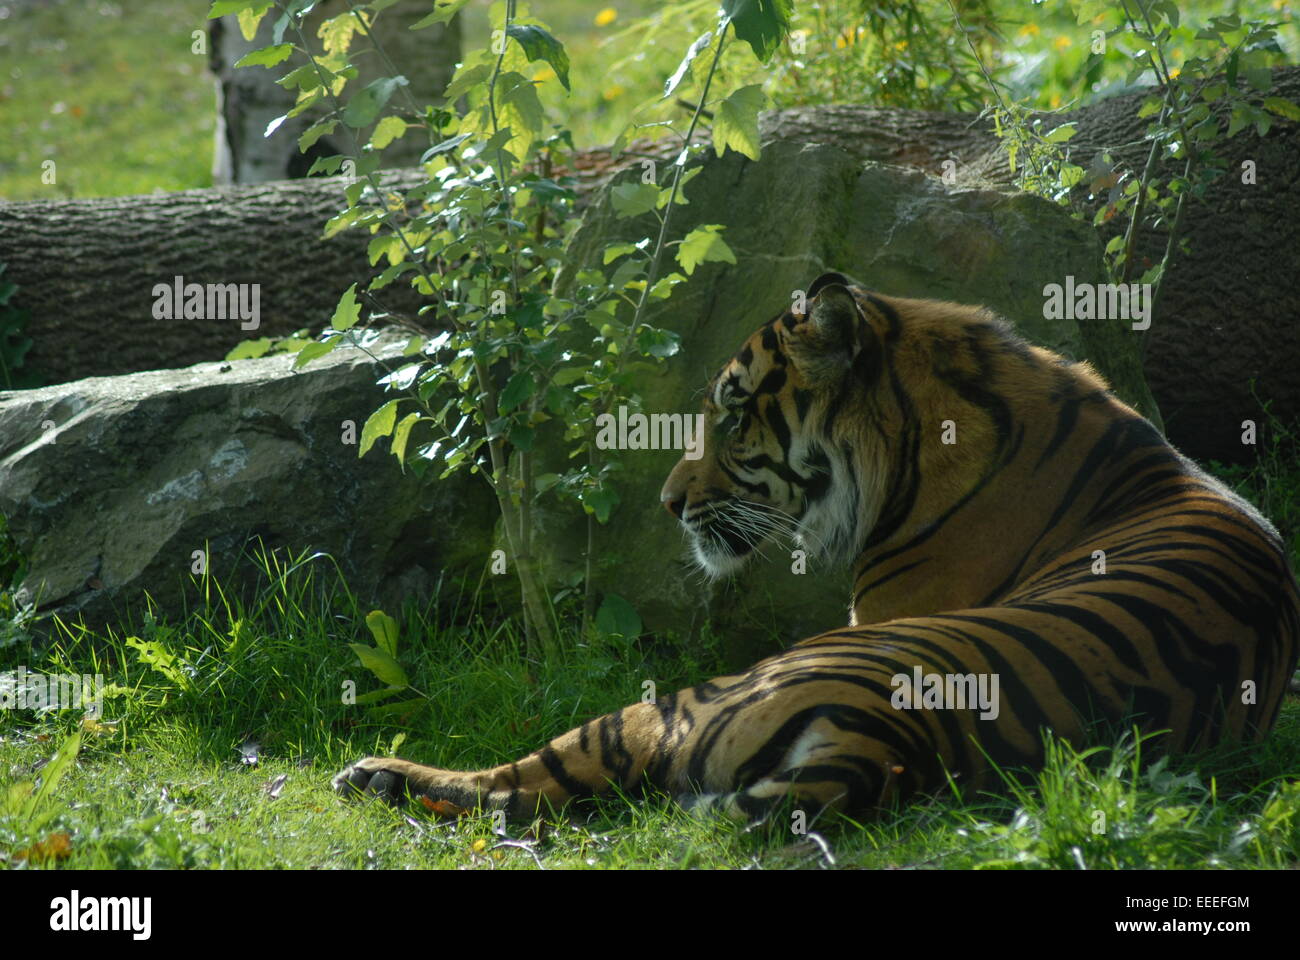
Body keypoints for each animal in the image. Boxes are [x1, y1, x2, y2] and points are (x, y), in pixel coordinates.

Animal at [335, 272, 1300, 821]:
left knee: (516, 784)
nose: (669, 503)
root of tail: (882, 738)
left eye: (732, 412)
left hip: (687, 700)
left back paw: (373, 774)